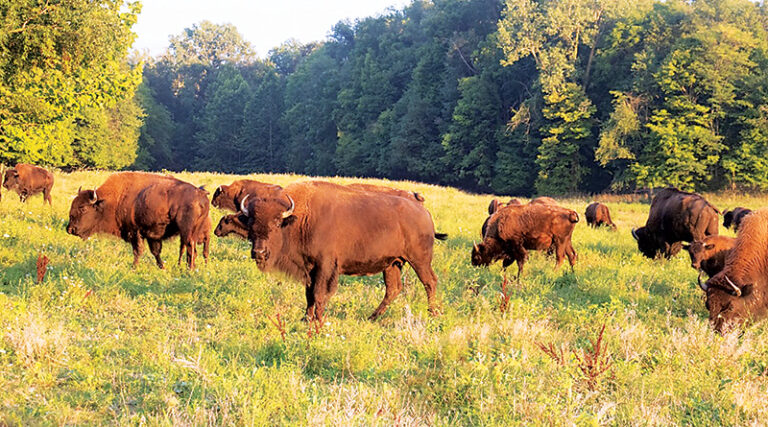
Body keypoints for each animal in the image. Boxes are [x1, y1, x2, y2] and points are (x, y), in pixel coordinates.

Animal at [66, 172, 210, 269]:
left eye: (83, 208)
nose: (70, 229)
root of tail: (202, 195)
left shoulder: (135, 232)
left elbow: (137, 251)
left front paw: (134, 267)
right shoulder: (152, 236)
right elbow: (156, 252)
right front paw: (162, 267)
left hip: (187, 231)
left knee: (191, 248)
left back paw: (190, 269)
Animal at [238, 181, 444, 322]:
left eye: (275, 223)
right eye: (251, 224)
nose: (259, 252)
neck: (300, 217)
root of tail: (423, 211)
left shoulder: (325, 266)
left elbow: (319, 293)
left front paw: (318, 319)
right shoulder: (309, 267)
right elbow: (309, 294)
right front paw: (306, 318)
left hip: (420, 260)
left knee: (430, 282)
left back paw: (433, 313)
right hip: (393, 263)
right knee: (393, 288)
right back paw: (372, 317)